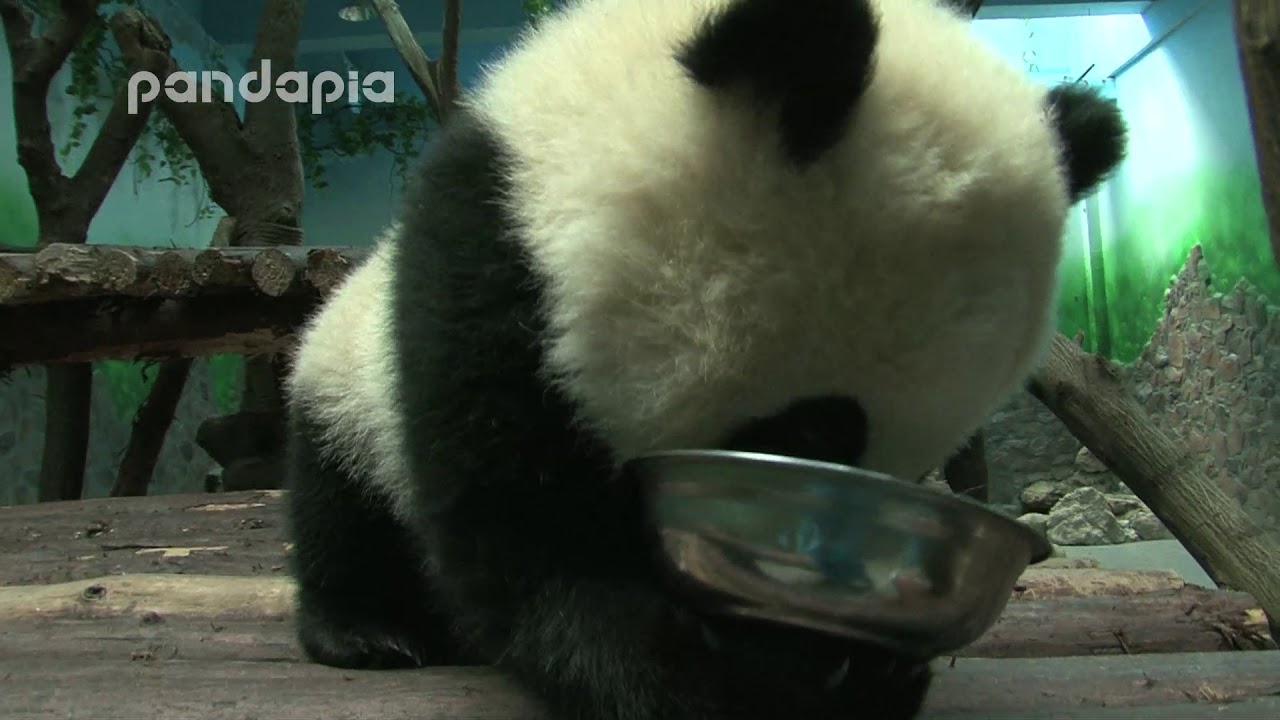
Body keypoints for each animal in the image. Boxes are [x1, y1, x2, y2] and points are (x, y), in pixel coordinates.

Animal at [283, 0, 1126, 718]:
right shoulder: (487, 262)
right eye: (809, 430)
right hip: (345, 379)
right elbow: (524, 540)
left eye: (920, 462)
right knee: (339, 501)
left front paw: (858, 661)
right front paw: (732, 677)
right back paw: (365, 629)